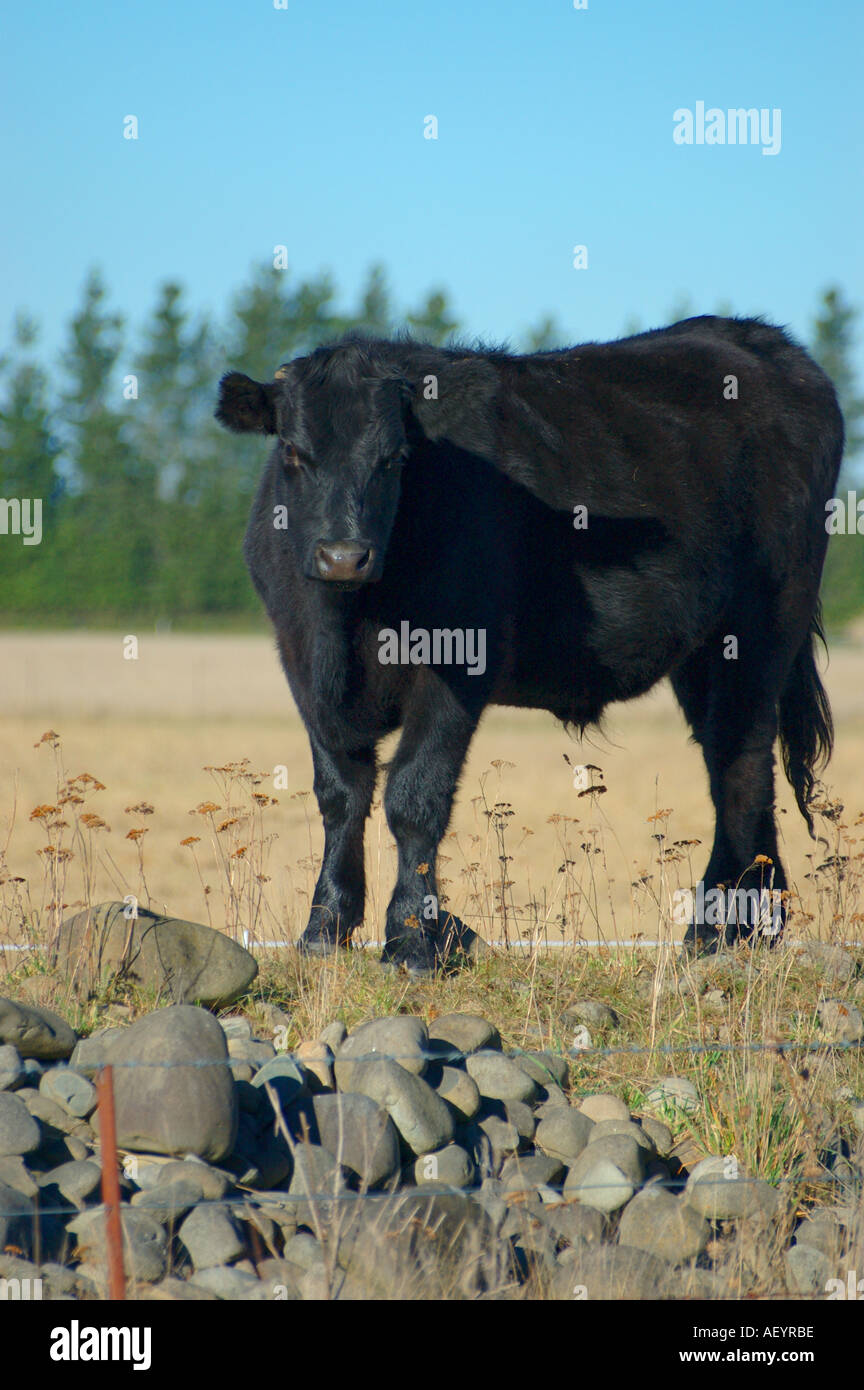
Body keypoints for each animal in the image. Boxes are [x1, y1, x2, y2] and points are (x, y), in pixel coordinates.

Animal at [215, 315, 843, 975]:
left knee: (742, 763)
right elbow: (341, 795)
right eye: (293, 451)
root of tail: (759, 339)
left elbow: (415, 794)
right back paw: (743, 927)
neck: (348, 624)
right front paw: (323, 930)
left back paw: (719, 931)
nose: (343, 555)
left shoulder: (457, 661)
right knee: (732, 762)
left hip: (764, 628)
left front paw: (411, 941)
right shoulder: (303, 669)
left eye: (394, 459)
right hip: (703, 655)